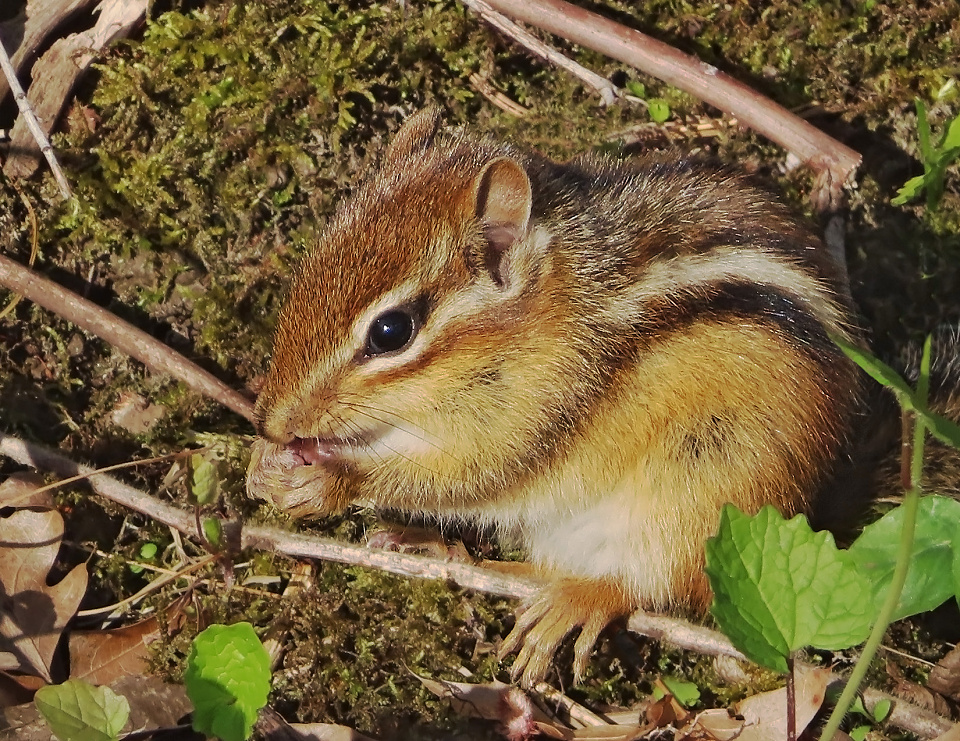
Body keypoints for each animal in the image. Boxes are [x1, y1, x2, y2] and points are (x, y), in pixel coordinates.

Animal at [246, 106, 948, 687]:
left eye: (391, 331)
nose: (274, 421)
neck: (539, 318)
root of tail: (824, 504)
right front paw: (267, 466)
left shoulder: (536, 412)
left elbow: (465, 476)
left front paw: (328, 480)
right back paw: (445, 552)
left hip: (702, 493)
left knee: (653, 584)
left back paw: (574, 599)